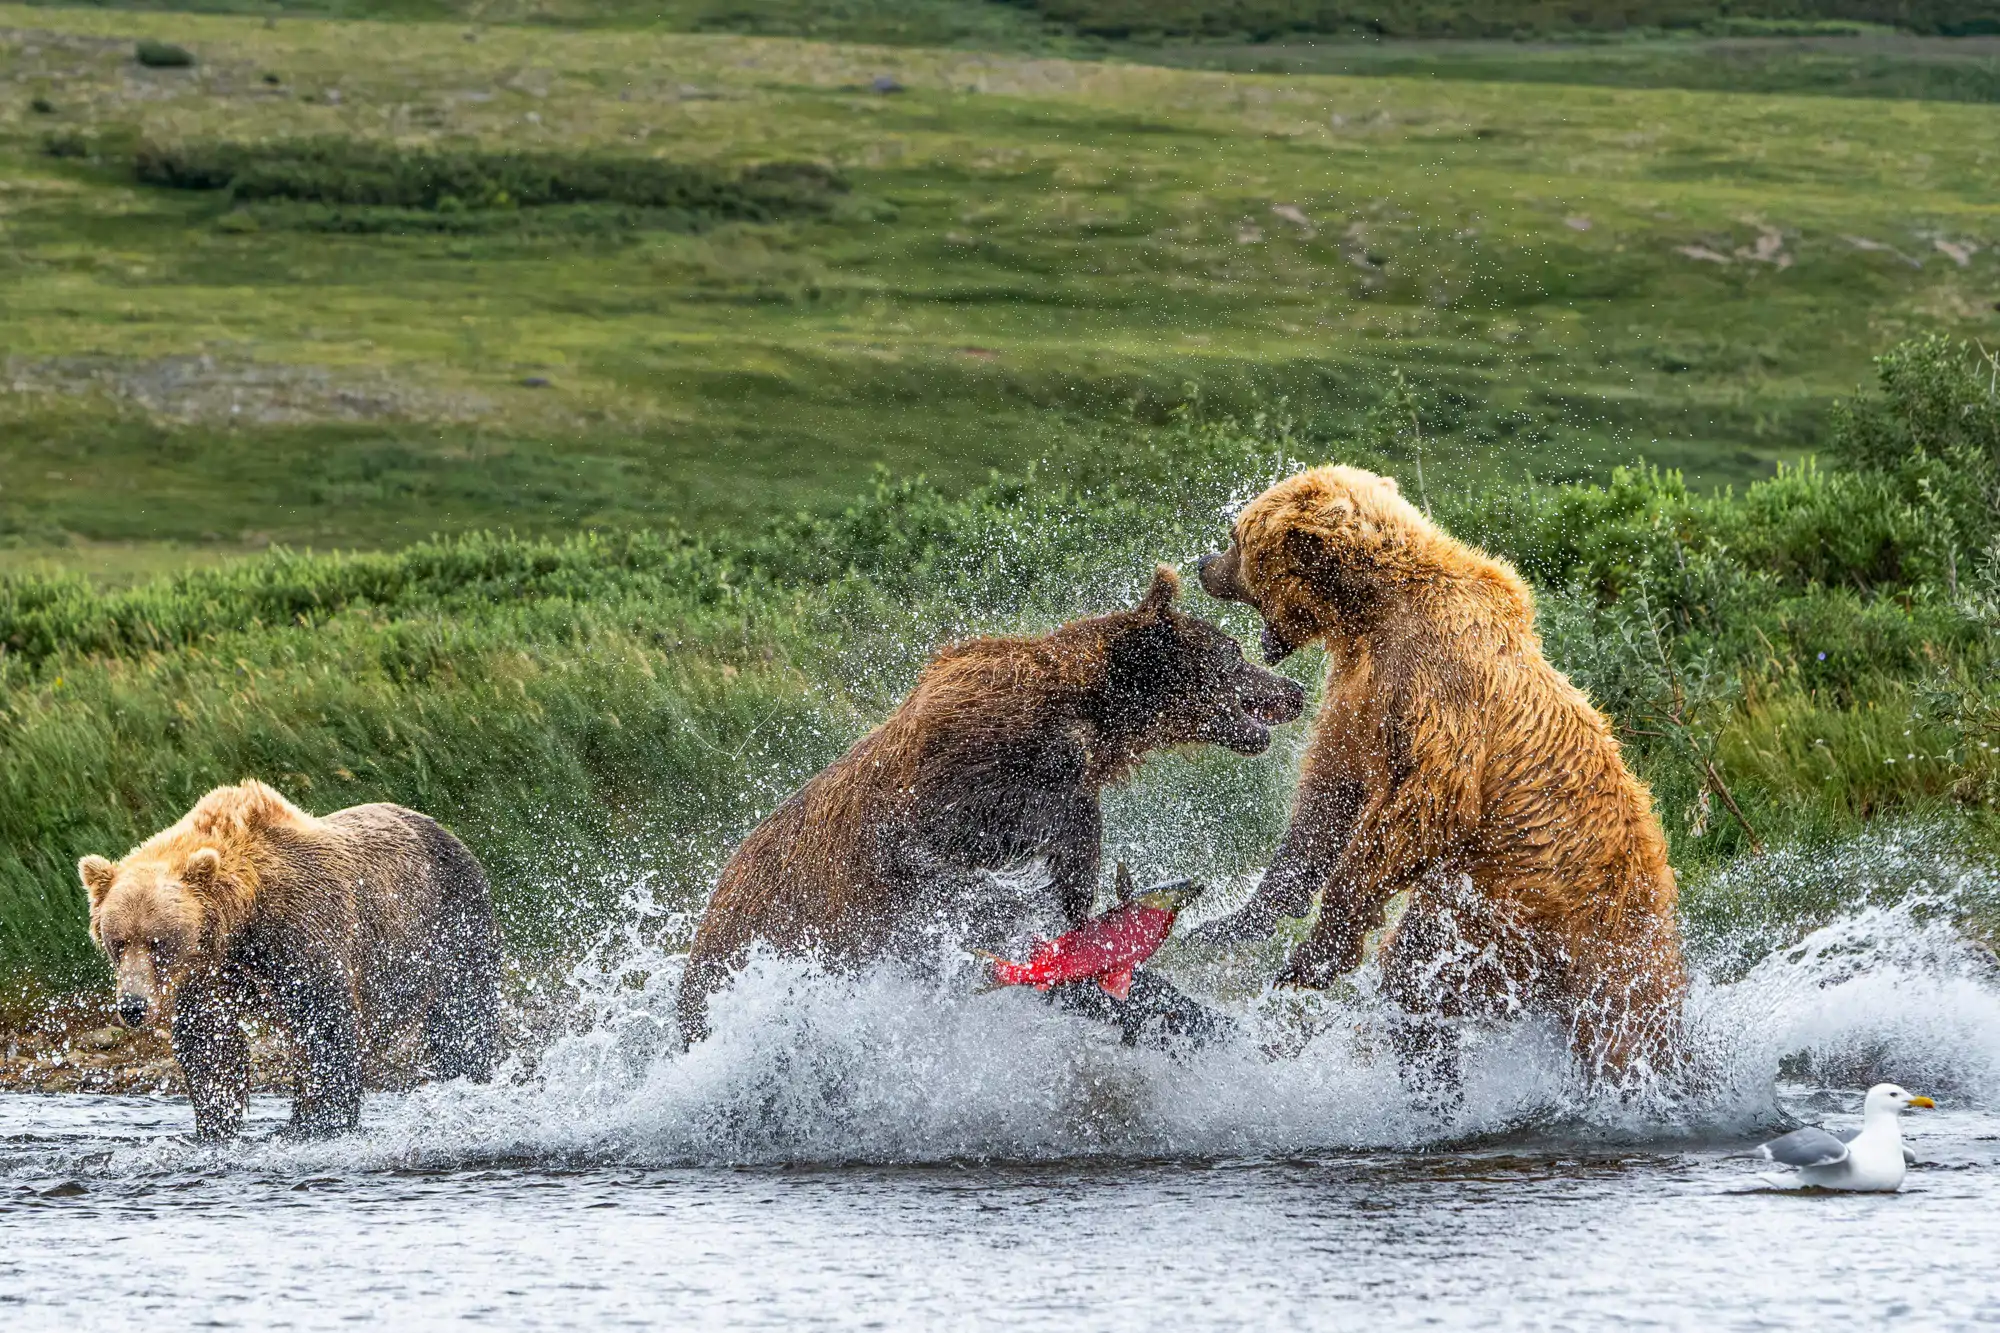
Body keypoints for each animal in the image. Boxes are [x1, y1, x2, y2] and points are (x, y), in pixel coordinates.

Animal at [79, 780, 501, 1139]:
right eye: (118, 942)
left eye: (158, 942)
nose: (133, 1007)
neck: (244, 917)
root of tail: (443, 830)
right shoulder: (207, 976)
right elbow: (210, 1045)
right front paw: (215, 1125)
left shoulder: (301, 932)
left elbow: (325, 1030)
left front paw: (319, 1122)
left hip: (451, 924)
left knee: (464, 1019)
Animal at [676, 565, 1306, 1044]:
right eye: (1233, 650)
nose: (1293, 690)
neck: (1081, 722)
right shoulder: (955, 783)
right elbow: (964, 874)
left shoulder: (1059, 795)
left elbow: (1071, 910)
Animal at [1193, 465, 1685, 1083]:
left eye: (1237, 538)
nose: (1203, 564)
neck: (1373, 608)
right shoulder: (1362, 692)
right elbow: (1328, 798)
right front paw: (1230, 922)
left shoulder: (1435, 681)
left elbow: (1426, 804)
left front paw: (1314, 956)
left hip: (1512, 904)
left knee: (1422, 971)